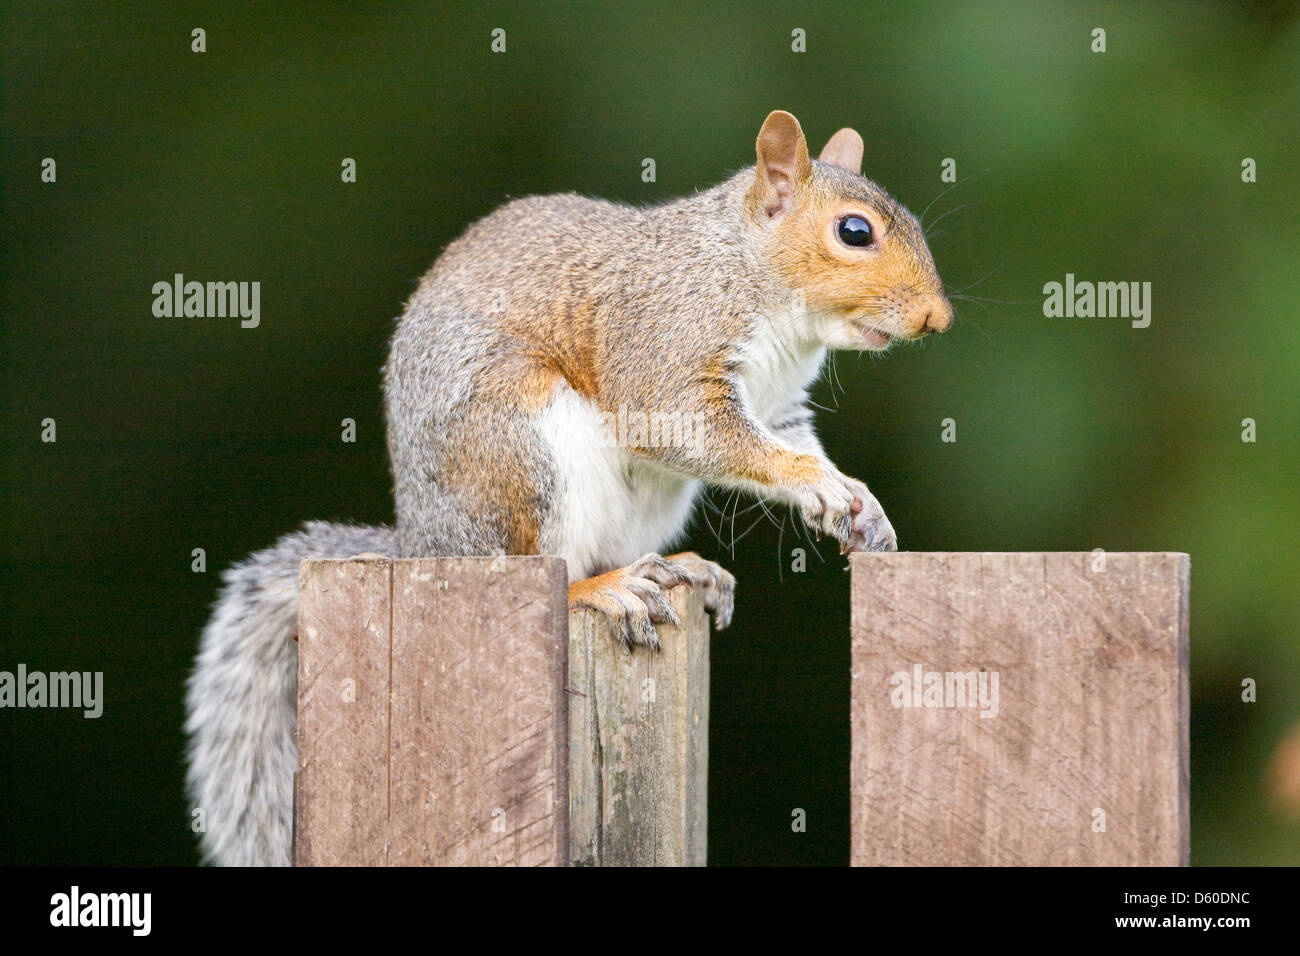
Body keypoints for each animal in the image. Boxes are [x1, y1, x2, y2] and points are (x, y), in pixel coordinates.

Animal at [184, 110, 952, 865]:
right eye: (855, 231)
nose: (937, 319)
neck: (749, 272)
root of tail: (427, 541)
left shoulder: (781, 405)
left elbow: (789, 442)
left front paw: (859, 502)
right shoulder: (667, 351)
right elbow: (703, 434)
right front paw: (818, 483)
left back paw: (676, 568)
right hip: (524, 452)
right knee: (540, 566)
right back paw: (605, 589)